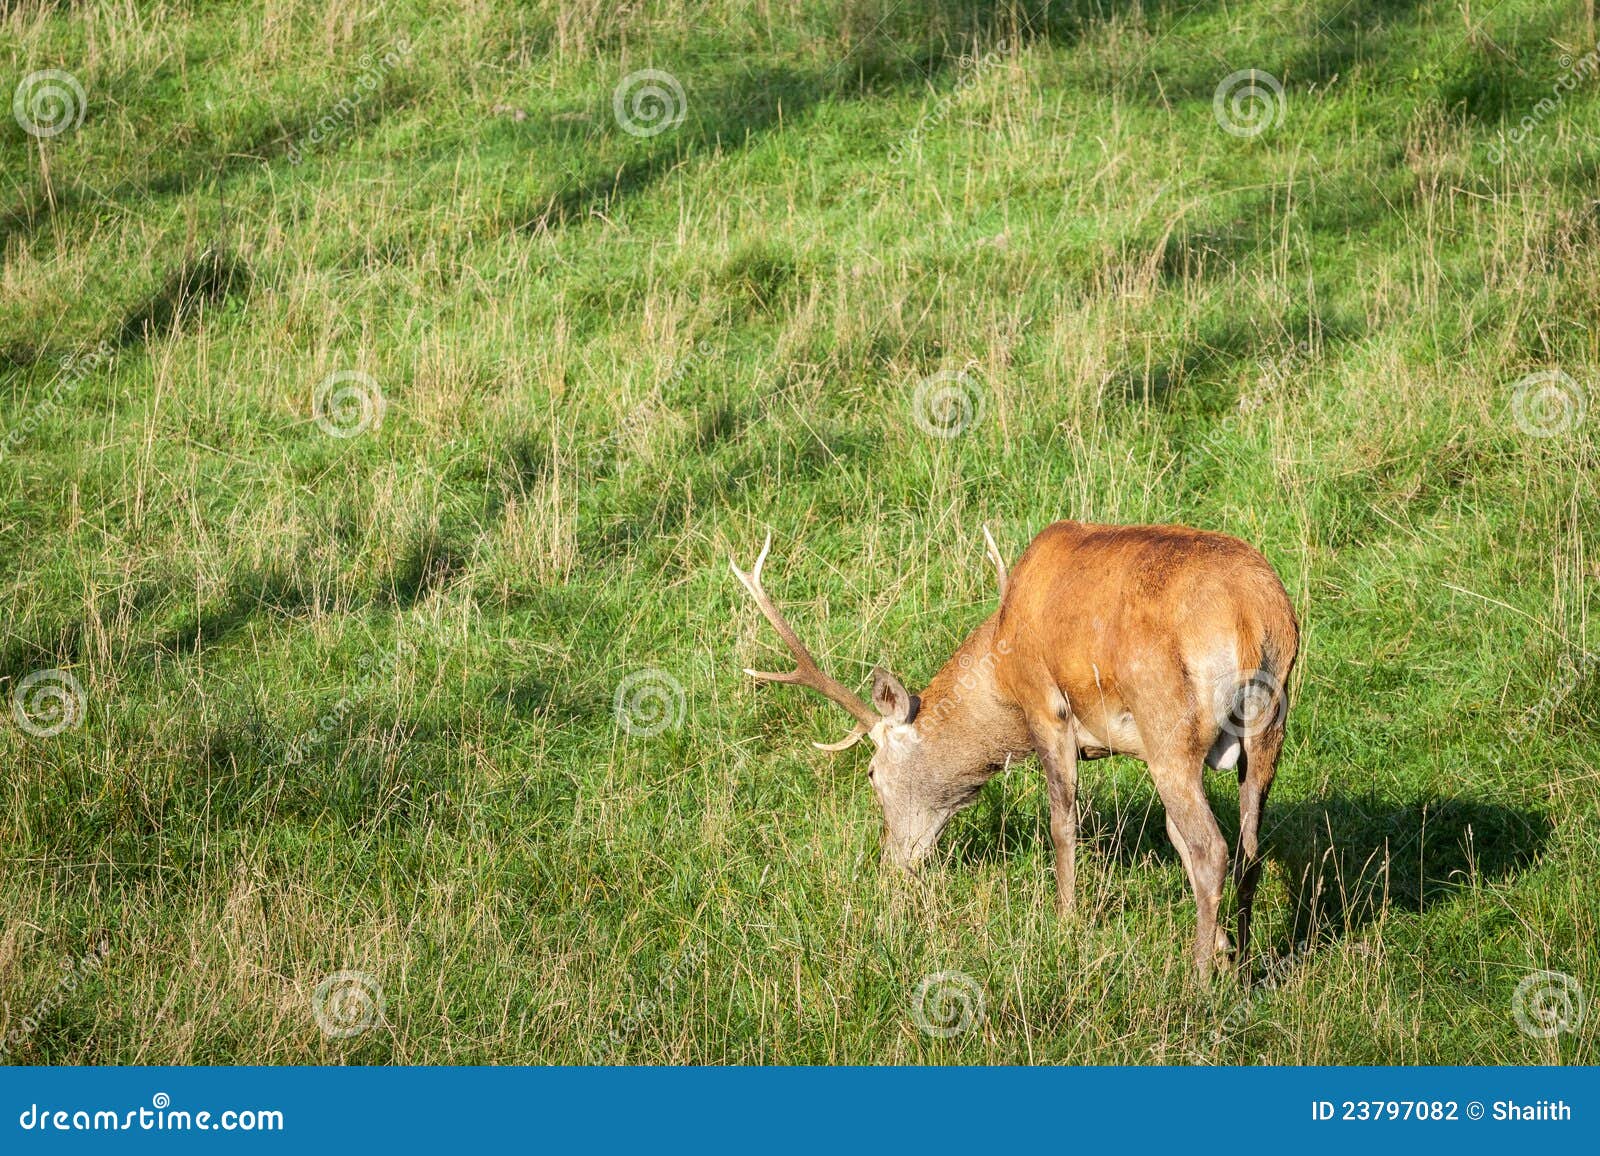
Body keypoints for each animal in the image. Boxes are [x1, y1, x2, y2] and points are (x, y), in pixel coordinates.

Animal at [731, 520, 1300, 978]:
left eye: (872, 773)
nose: (892, 863)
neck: (1000, 670)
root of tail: (1254, 618)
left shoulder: (1047, 709)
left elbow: (1064, 824)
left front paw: (1066, 923)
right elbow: (1171, 835)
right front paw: (1224, 943)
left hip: (1167, 725)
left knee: (1214, 848)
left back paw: (1198, 976)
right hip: (1270, 727)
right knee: (1249, 845)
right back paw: (1243, 960)